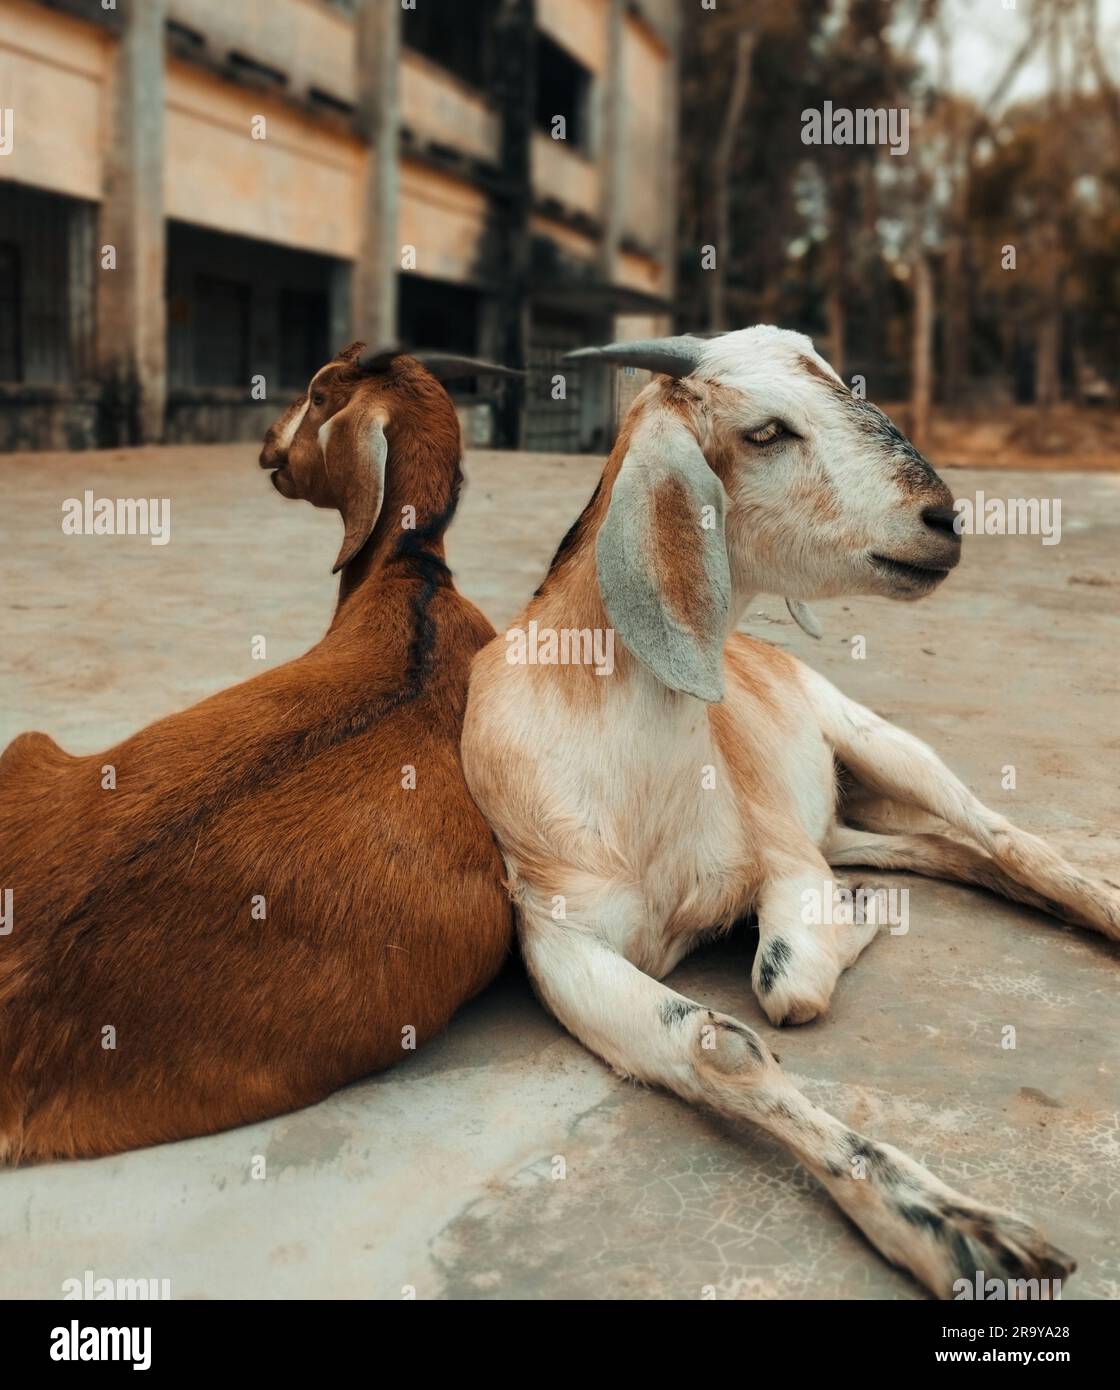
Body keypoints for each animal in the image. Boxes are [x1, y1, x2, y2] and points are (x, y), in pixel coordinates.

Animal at [460, 326, 1114, 1298]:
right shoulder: (558, 938)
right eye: (768, 430)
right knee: (945, 854)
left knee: (1006, 839)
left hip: (876, 741)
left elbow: (787, 985)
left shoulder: (781, 860)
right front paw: (952, 1231)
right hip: (843, 821)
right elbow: (725, 1041)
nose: (943, 523)